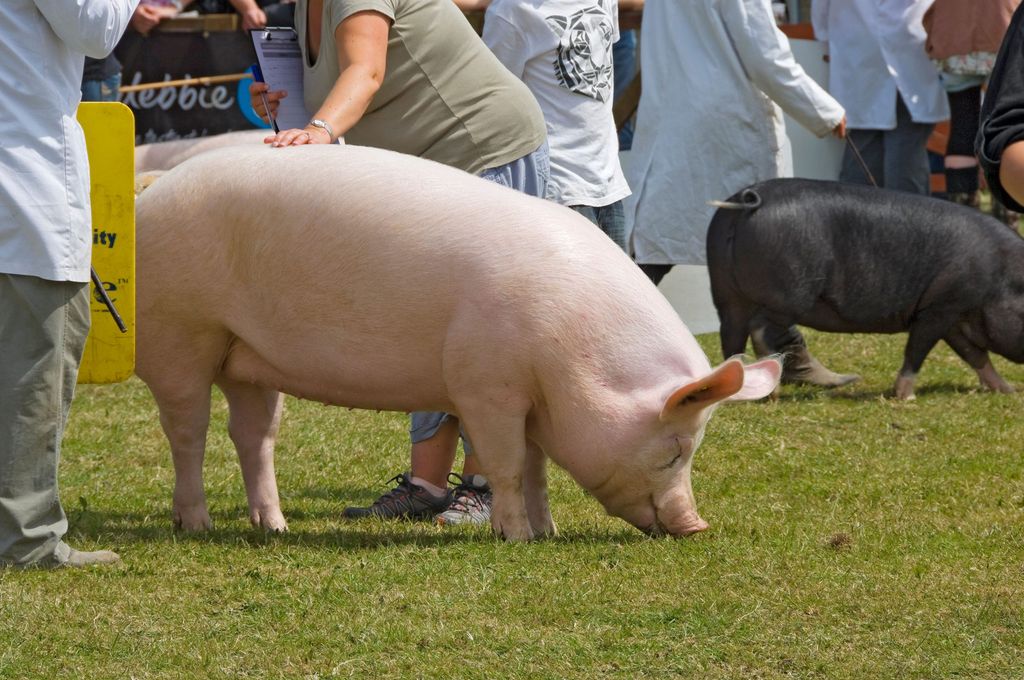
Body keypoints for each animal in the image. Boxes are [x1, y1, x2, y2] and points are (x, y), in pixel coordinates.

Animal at [135, 144, 781, 541]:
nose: (696, 526)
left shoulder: (533, 399)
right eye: (676, 451)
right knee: (187, 432)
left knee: (253, 435)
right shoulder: (485, 385)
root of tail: (150, 196)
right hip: (180, 334)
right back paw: (196, 525)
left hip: (246, 356)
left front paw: (545, 532)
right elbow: (508, 464)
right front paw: (516, 537)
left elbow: (538, 467)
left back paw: (274, 527)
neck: (574, 355)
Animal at [707, 178, 1024, 400]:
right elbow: (917, 349)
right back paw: (772, 393)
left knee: (731, 335)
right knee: (761, 329)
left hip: (726, 294)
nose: (1017, 389)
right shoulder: (941, 308)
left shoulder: (953, 315)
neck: (999, 280)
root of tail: (750, 199)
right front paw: (907, 398)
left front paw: (1005, 389)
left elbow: (975, 355)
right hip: (788, 295)